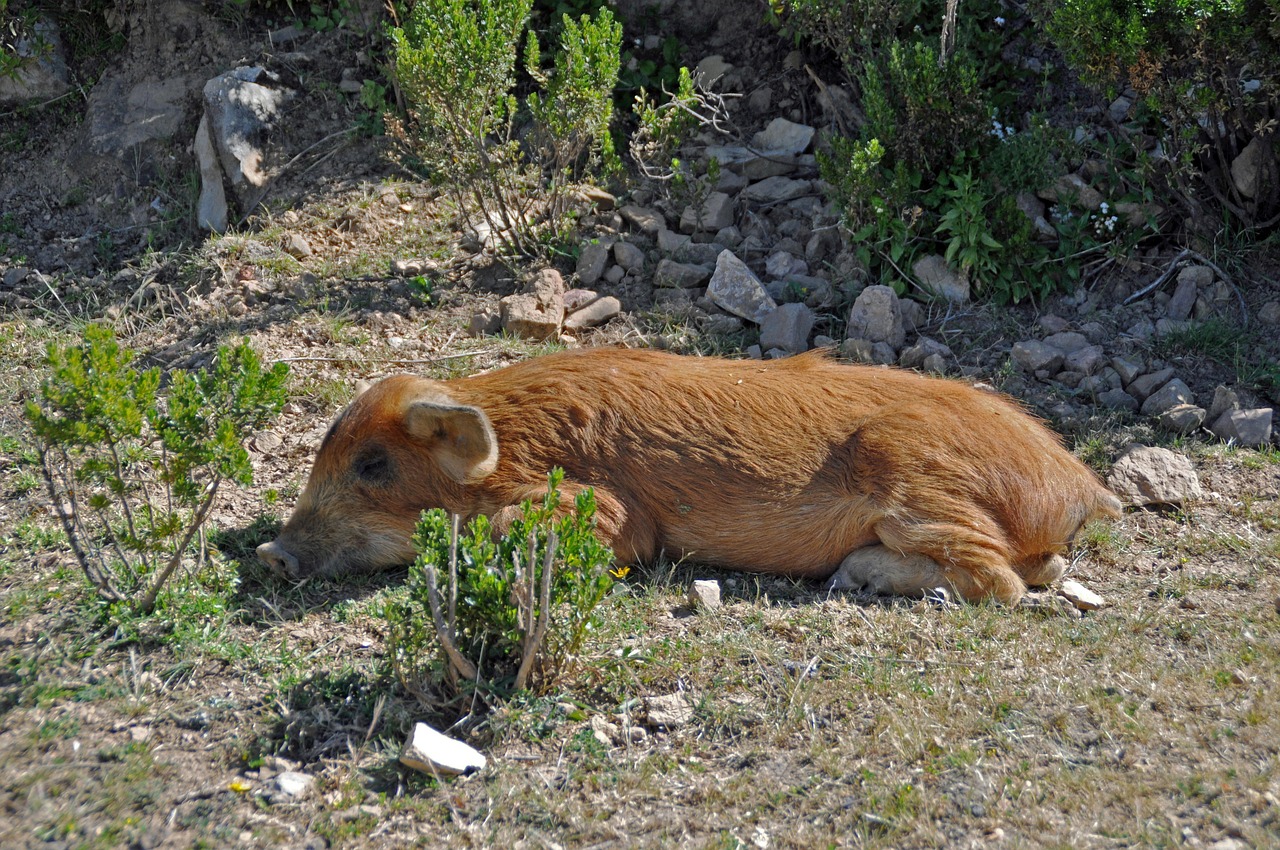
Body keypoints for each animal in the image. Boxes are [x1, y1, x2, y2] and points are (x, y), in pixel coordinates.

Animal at [257, 348, 1121, 604]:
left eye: (373, 464)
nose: (272, 553)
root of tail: (1082, 485)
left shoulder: (615, 514)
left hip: (919, 478)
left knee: (1001, 582)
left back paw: (857, 578)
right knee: (1036, 571)